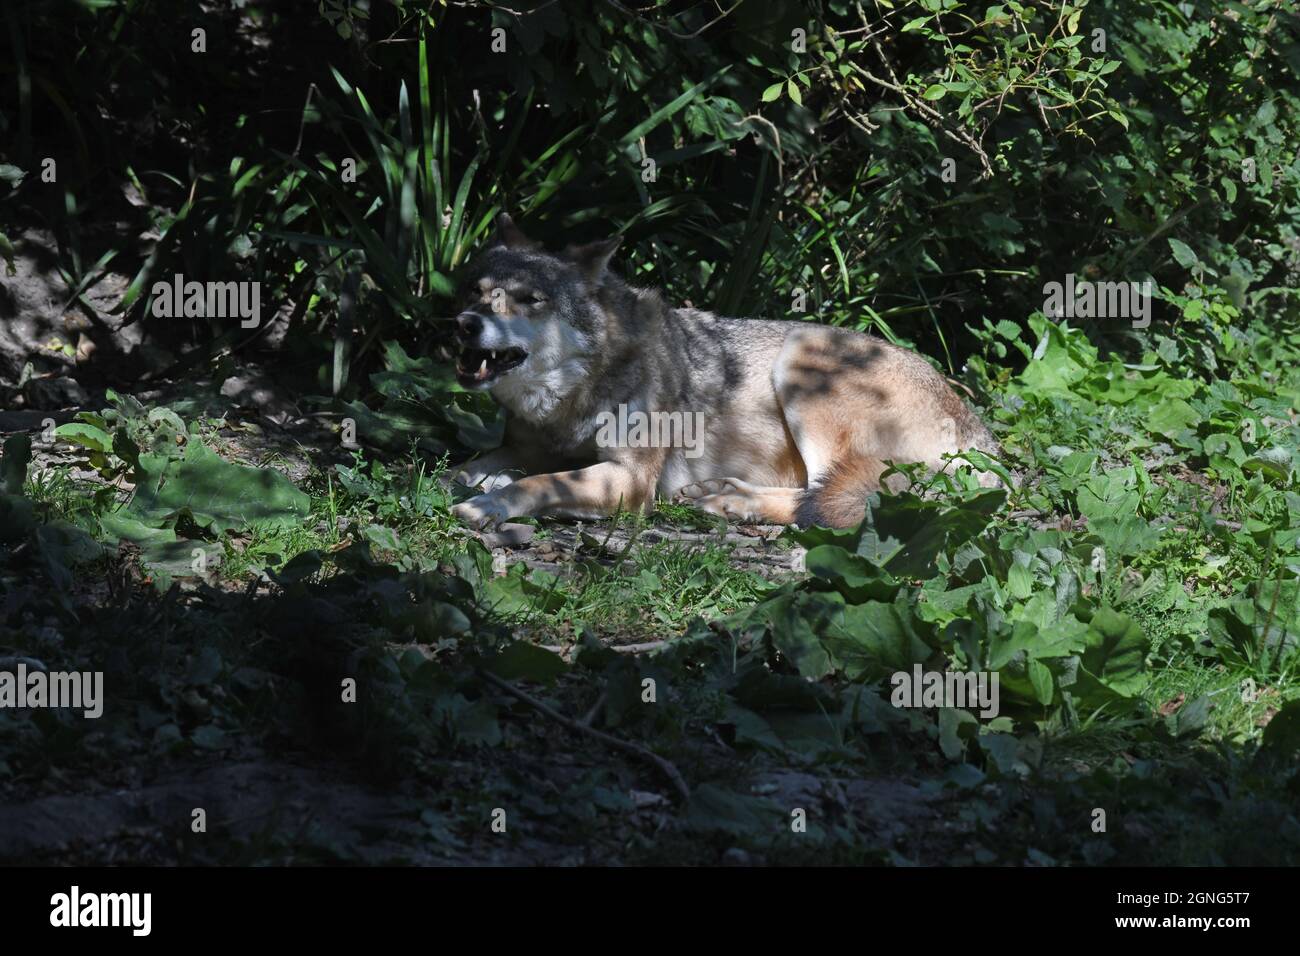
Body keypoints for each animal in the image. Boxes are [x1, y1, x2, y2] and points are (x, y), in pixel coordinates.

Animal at [449, 214, 1001, 530]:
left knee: (831, 500)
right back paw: (722, 495)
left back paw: (730, 505)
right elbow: (465, 467)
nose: (464, 324)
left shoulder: (630, 479)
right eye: (476, 290)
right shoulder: (525, 448)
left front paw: (490, 506)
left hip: (803, 359)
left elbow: (541, 484)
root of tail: (983, 441)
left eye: (530, 300)